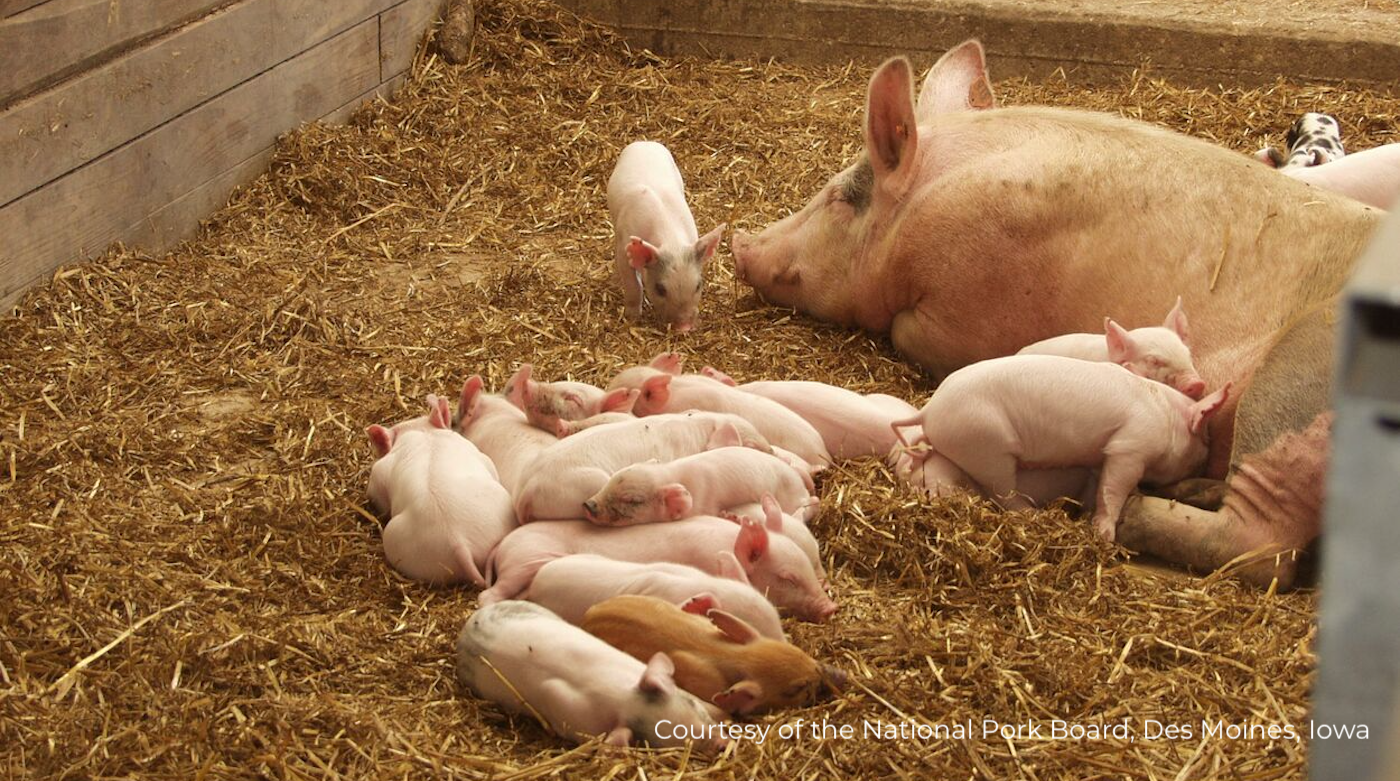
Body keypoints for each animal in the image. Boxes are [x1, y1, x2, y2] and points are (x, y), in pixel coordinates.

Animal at [455, 600, 727, 750]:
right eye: (661, 738)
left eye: (693, 707)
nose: (722, 744)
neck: (622, 696)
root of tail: (467, 628)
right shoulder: (573, 717)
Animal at [607, 140, 726, 330]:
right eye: (660, 289)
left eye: (698, 285)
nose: (684, 328)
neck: (672, 243)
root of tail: (644, 142)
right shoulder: (624, 247)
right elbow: (633, 286)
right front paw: (632, 318)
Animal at [897, 355, 1230, 541]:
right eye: (1204, 441)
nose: (1204, 464)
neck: (1166, 417)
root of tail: (928, 410)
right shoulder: (1131, 445)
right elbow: (1113, 487)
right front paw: (1105, 534)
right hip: (987, 445)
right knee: (1003, 492)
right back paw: (1032, 512)